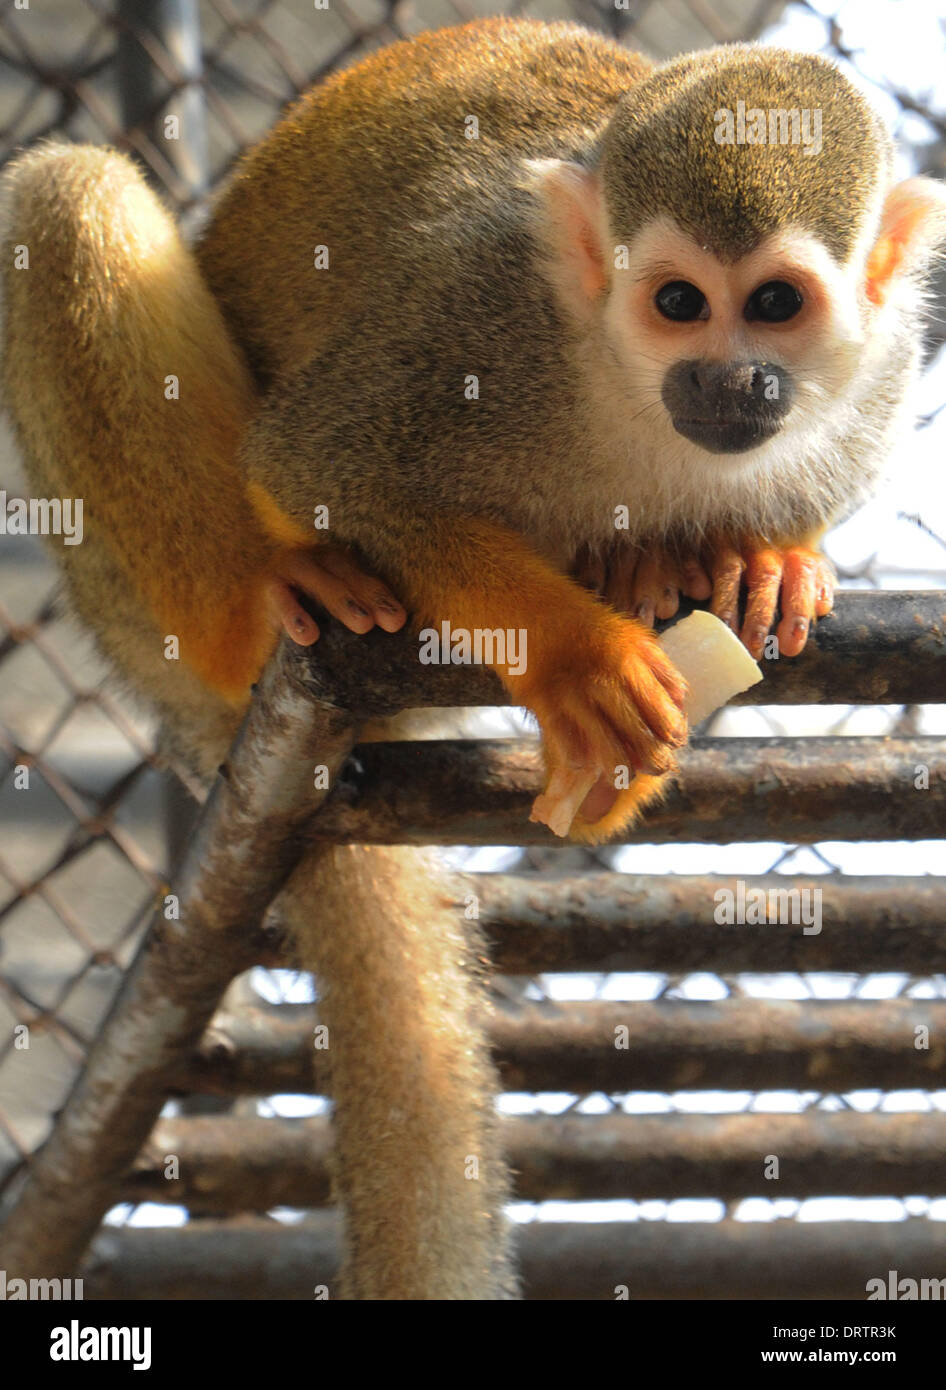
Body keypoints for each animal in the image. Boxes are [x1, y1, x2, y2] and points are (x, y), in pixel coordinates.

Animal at [2, 16, 944, 1298]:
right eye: (679, 301)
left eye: (776, 303)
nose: (728, 380)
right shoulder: (479, 315)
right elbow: (325, 456)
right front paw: (577, 661)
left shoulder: (883, 375)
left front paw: (767, 555)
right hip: (130, 602)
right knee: (67, 195)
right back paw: (269, 596)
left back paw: (650, 560)